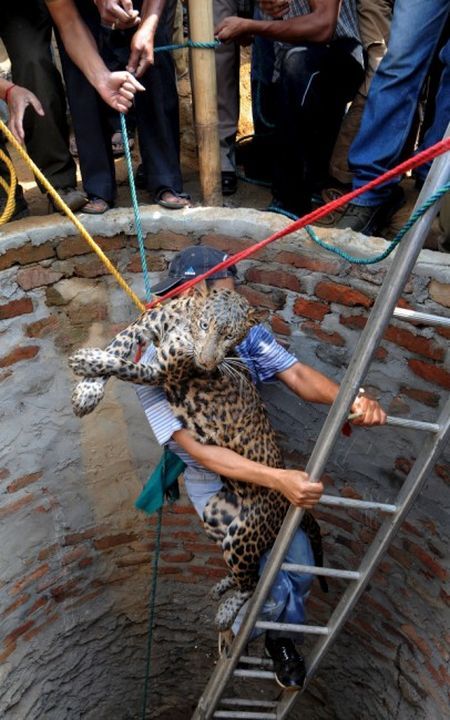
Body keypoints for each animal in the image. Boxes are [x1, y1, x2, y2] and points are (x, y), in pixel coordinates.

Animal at [69, 287, 326, 631]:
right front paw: (87, 390)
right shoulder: (141, 329)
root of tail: (286, 504)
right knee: (247, 570)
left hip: (242, 535)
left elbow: (124, 365)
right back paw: (221, 587)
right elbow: (118, 346)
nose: (206, 361)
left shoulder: (164, 370)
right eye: (205, 325)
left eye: (230, 336)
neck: (182, 322)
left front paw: (86, 359)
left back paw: (227, 610)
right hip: (215, 514)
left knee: (253, 581)